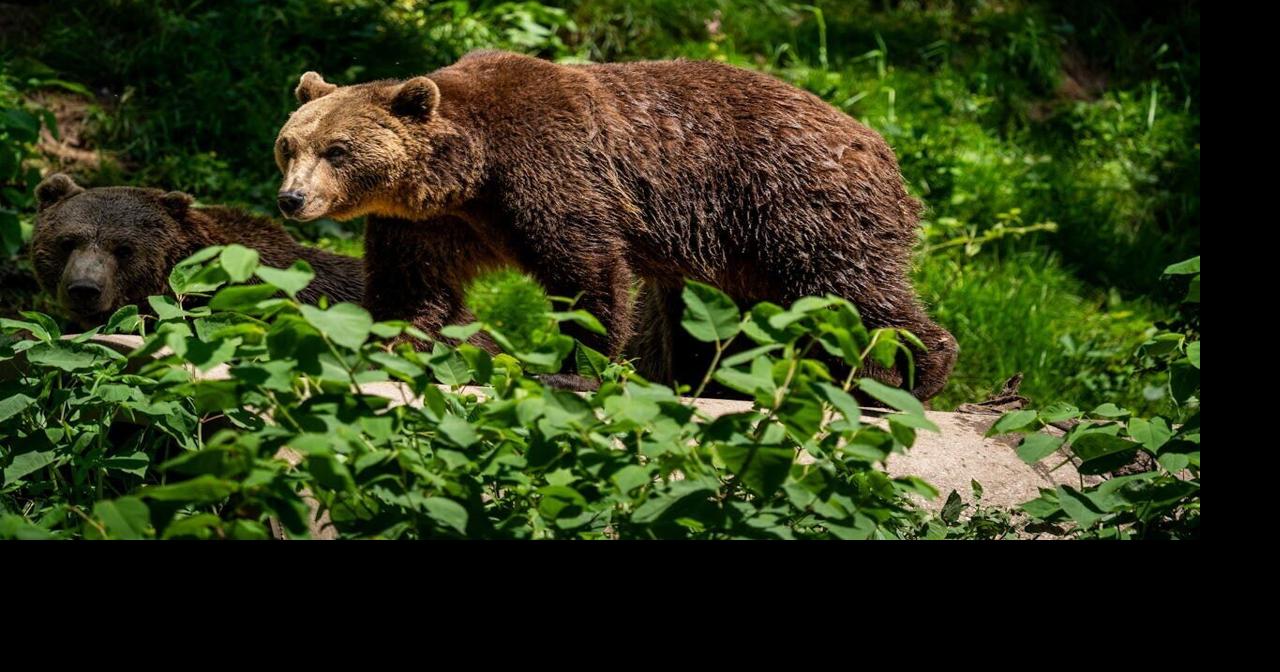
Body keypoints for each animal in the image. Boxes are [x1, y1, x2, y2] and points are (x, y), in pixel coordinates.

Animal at [273, 50, 957, 399]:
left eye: (338, 150)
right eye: (289, 145)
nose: (291, 200)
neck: (471, 172)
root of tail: (881, 145)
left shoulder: (550, 172)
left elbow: (587, 272)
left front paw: (574, 367)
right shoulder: (435, 223)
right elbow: (411, 285)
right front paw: (387, 344)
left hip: (794, 207)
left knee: (850, 289)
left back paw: (916, 373)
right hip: (734, 249)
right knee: (722, 320)